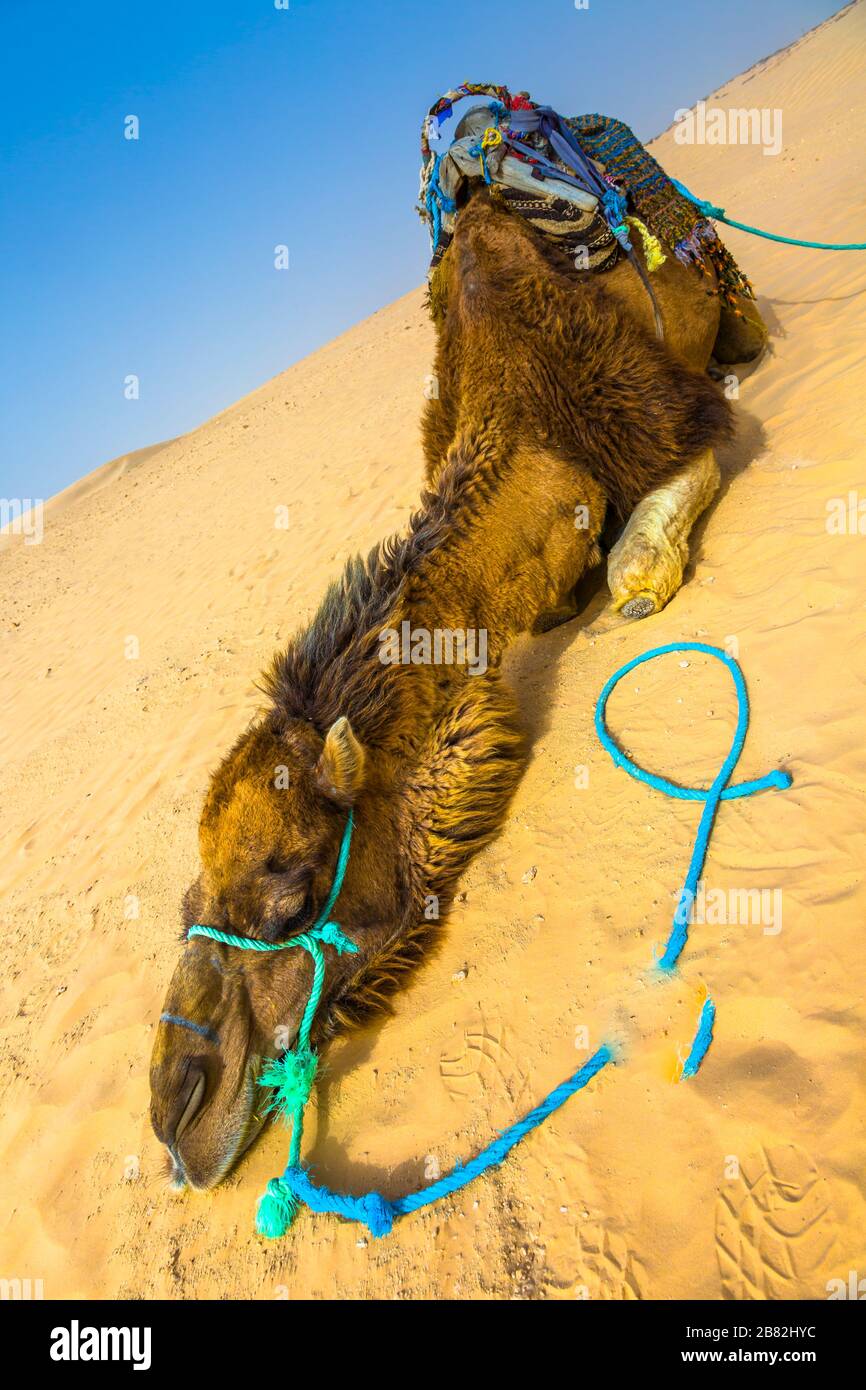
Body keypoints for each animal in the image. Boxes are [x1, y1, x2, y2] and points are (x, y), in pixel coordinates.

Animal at [150, 153, 766, 1192]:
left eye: (292, 896)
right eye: (191, 902)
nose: (175, 1115)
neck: (522, 404)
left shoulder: (675, 415)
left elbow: (644, 546)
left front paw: (638, 583)